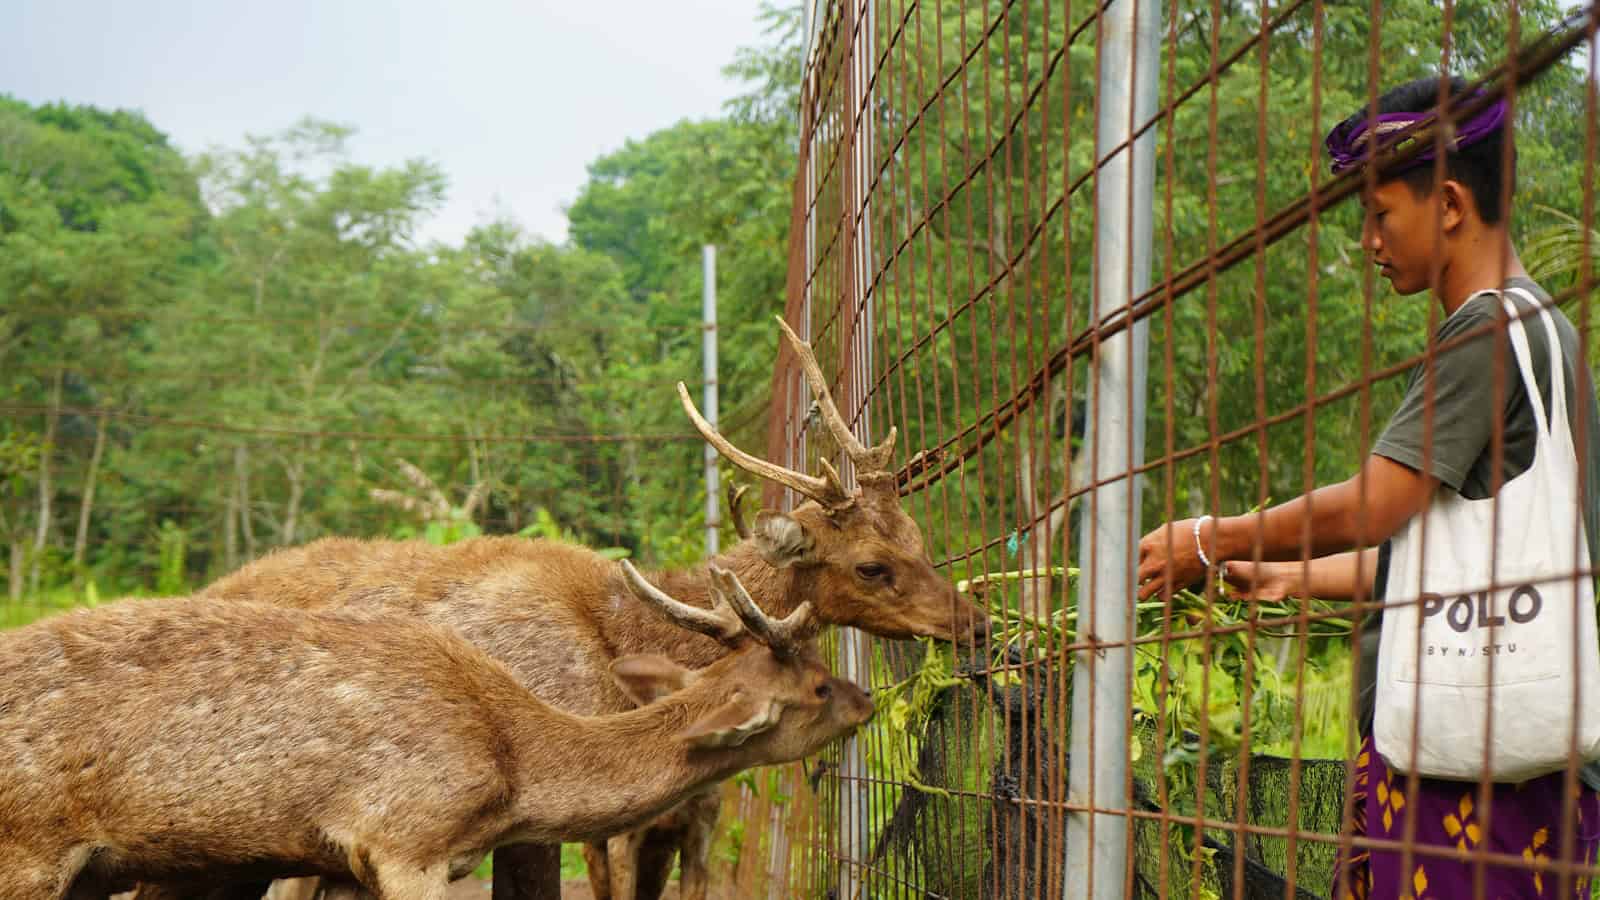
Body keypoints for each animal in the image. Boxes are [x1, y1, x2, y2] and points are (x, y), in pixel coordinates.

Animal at [0, 563, 872, 900]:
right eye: (817, 684)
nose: (867, 698)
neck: (510, 773)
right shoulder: (403, 833)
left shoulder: (346, 860)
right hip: (29, 851)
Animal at [125, 317, 989, 900]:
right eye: (872, 565)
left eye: (918, 534)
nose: (974, 621)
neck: (625, 648)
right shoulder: (575, 826)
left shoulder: (688, 820)